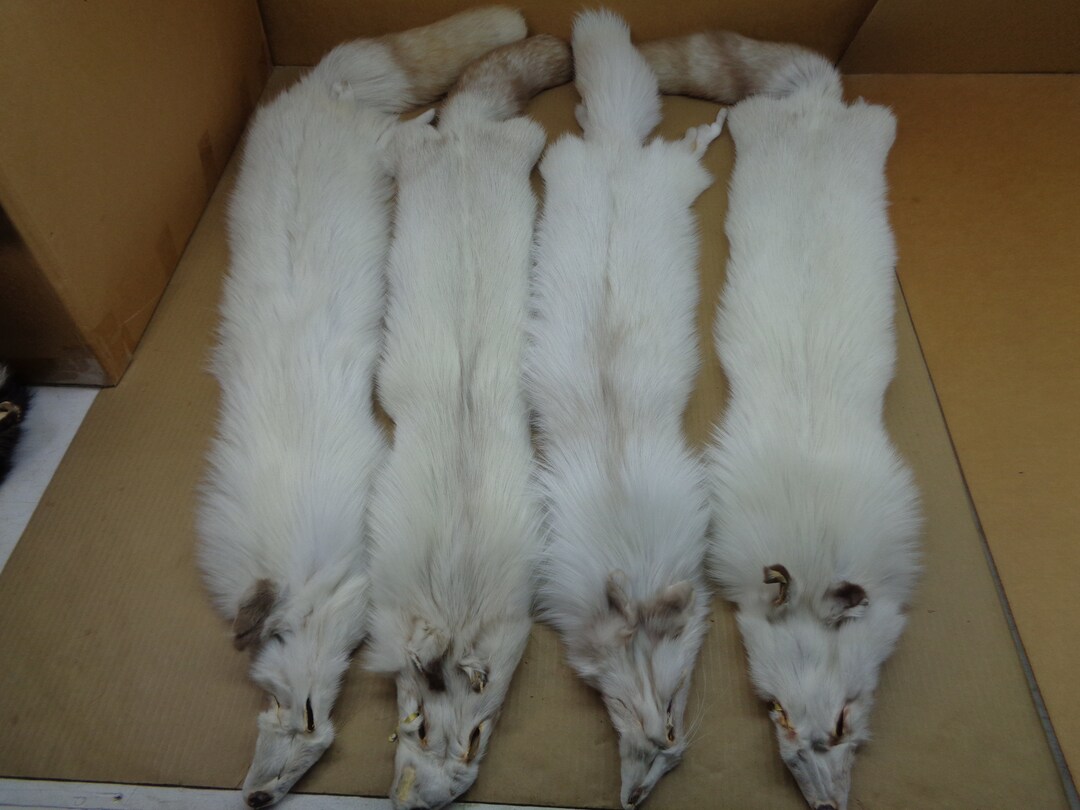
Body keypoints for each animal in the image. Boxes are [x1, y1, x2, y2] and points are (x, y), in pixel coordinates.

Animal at [364, 35, 572, 810]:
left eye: (476, 741)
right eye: (416, 724)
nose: (409, 800)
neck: (455, 606)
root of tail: (466, 136)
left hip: (515, 144)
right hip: (463, 149)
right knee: (411, 134)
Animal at [707, 63, 921, 810]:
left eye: (847, 718)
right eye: (776, 712)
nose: (828, 804)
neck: (815, 537)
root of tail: (815, 110)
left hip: (869, 131)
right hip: (760, 125)